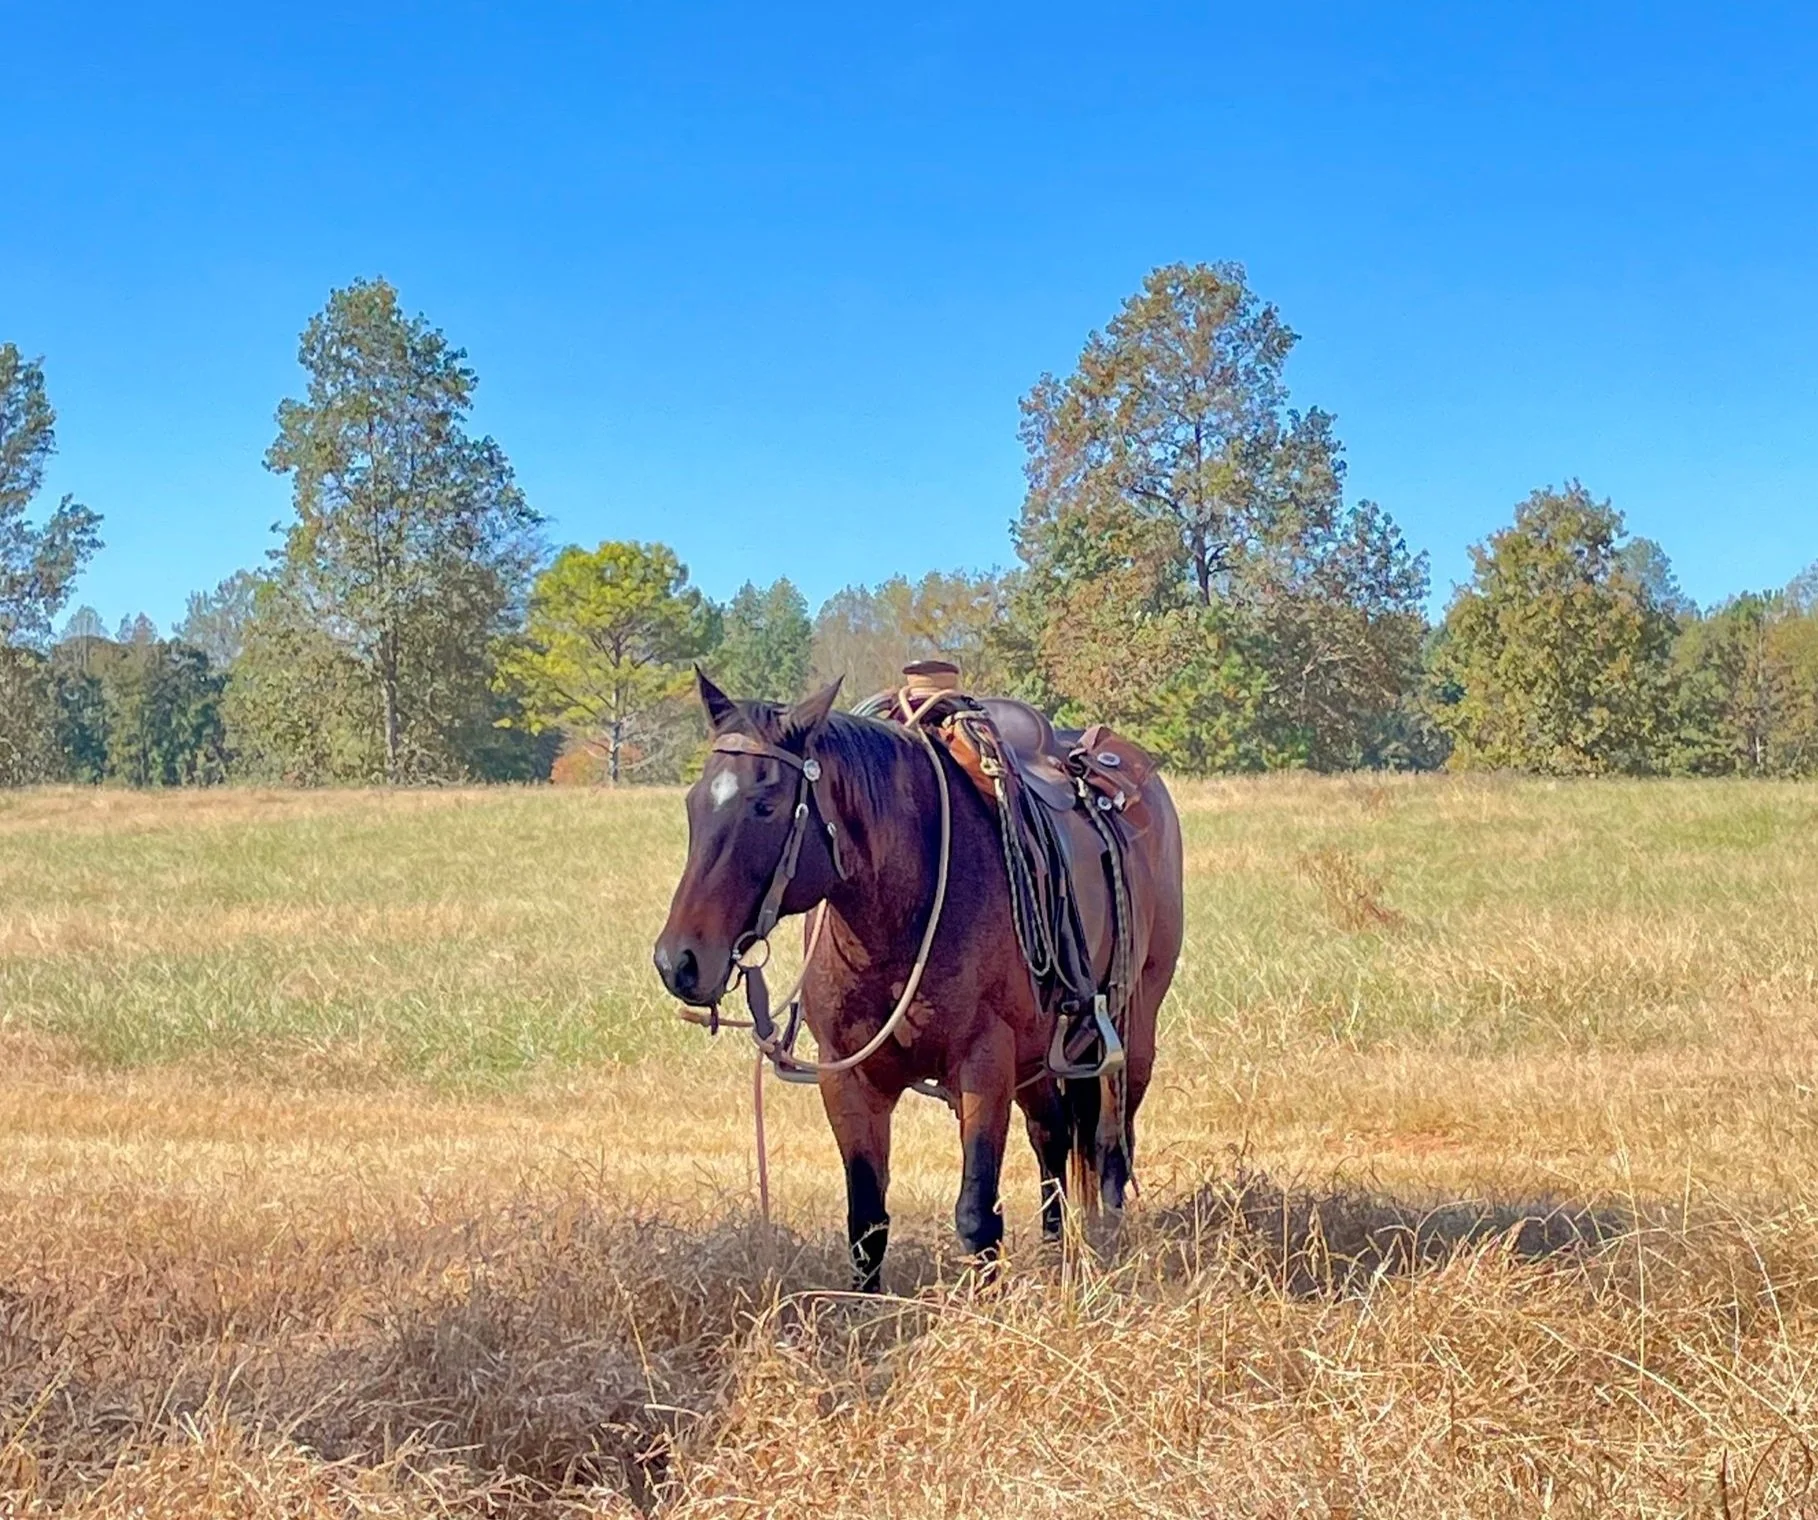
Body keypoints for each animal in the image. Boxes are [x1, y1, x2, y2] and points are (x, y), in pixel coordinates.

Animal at [653, 670, 1184, 1290]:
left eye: (765, 804)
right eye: (694, 803)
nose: (679, 961)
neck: (901, 911)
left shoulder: (985, 1066)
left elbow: (978, 1216)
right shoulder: (848, 1079)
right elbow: (866, 1222)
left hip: (1129, 1030)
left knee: (1110, 1147)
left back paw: (1108, 1247)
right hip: (1040, 1057)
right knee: (1052, 1139)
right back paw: (1056, 1254)